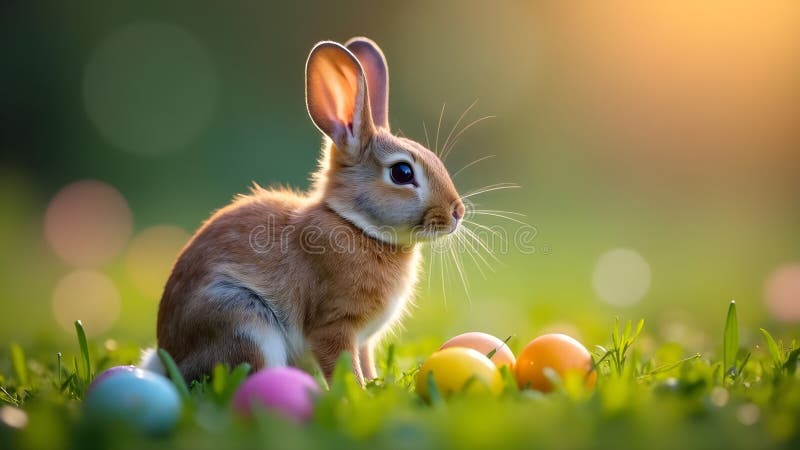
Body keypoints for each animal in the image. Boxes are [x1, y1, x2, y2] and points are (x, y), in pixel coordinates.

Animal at [142, 37, 465, 386]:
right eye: (402, 173)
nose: (457, 212)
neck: (355, 224)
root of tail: (168, 357)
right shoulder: (333, 326)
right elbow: (343, 366)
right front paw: (359, 392)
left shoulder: (363, 341)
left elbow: (365, 362)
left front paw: (375, 384)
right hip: (244, 320)